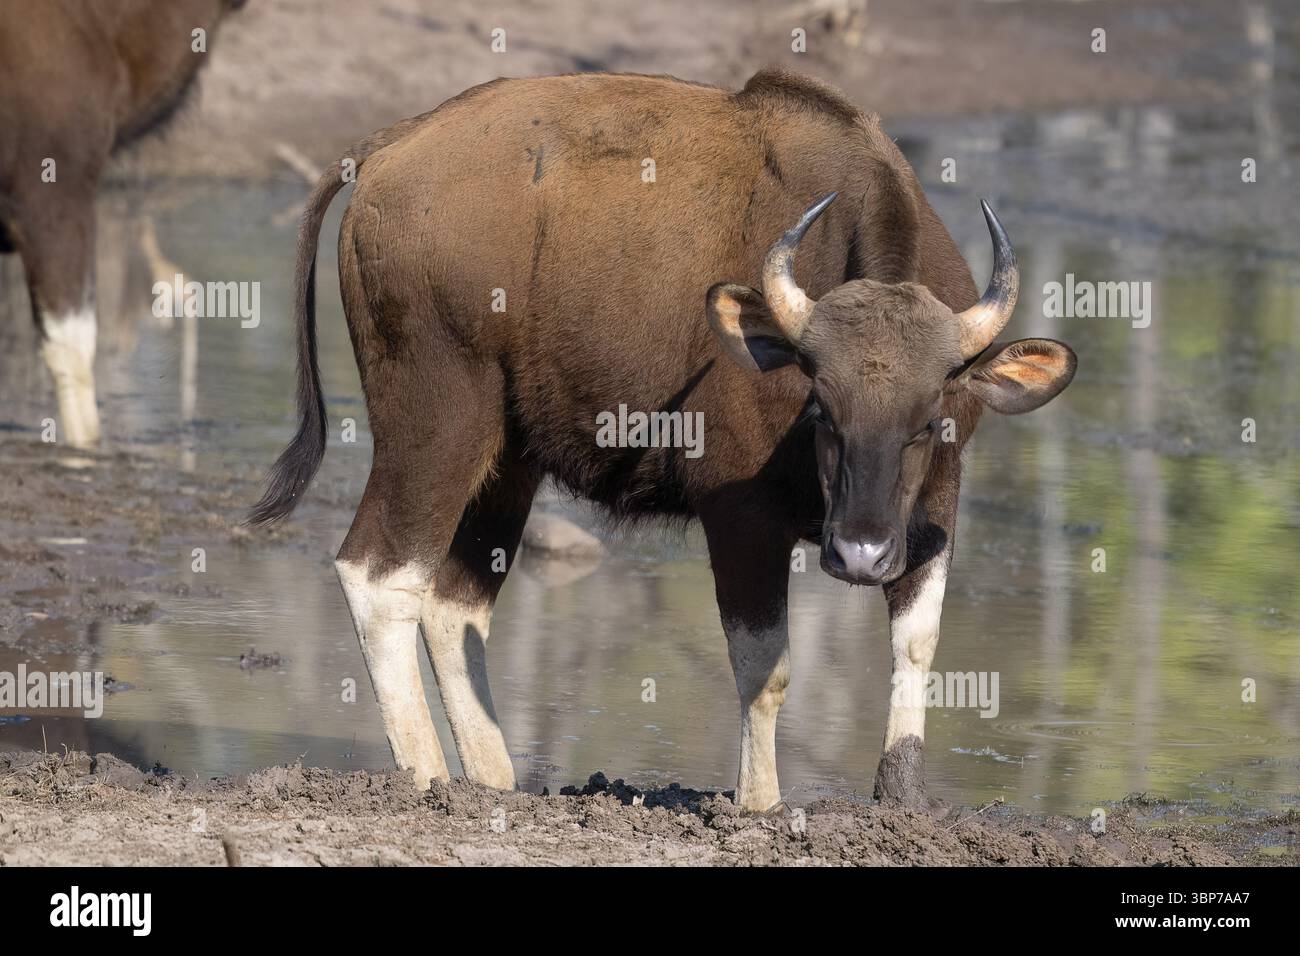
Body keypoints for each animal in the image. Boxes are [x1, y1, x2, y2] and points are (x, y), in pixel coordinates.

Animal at [250, 69, 1076, 811]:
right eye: (822, 410)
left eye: (928, 419)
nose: (860, 555)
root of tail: (390, 148)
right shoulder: (739, 515)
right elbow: (765, 668)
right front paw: (759, 805)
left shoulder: (932, 506)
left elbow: (916, 645)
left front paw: (901, 804)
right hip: (435, 419)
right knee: (380, 575)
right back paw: (424, 779)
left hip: (507, 457)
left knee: (456, 602)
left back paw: (492, 782)